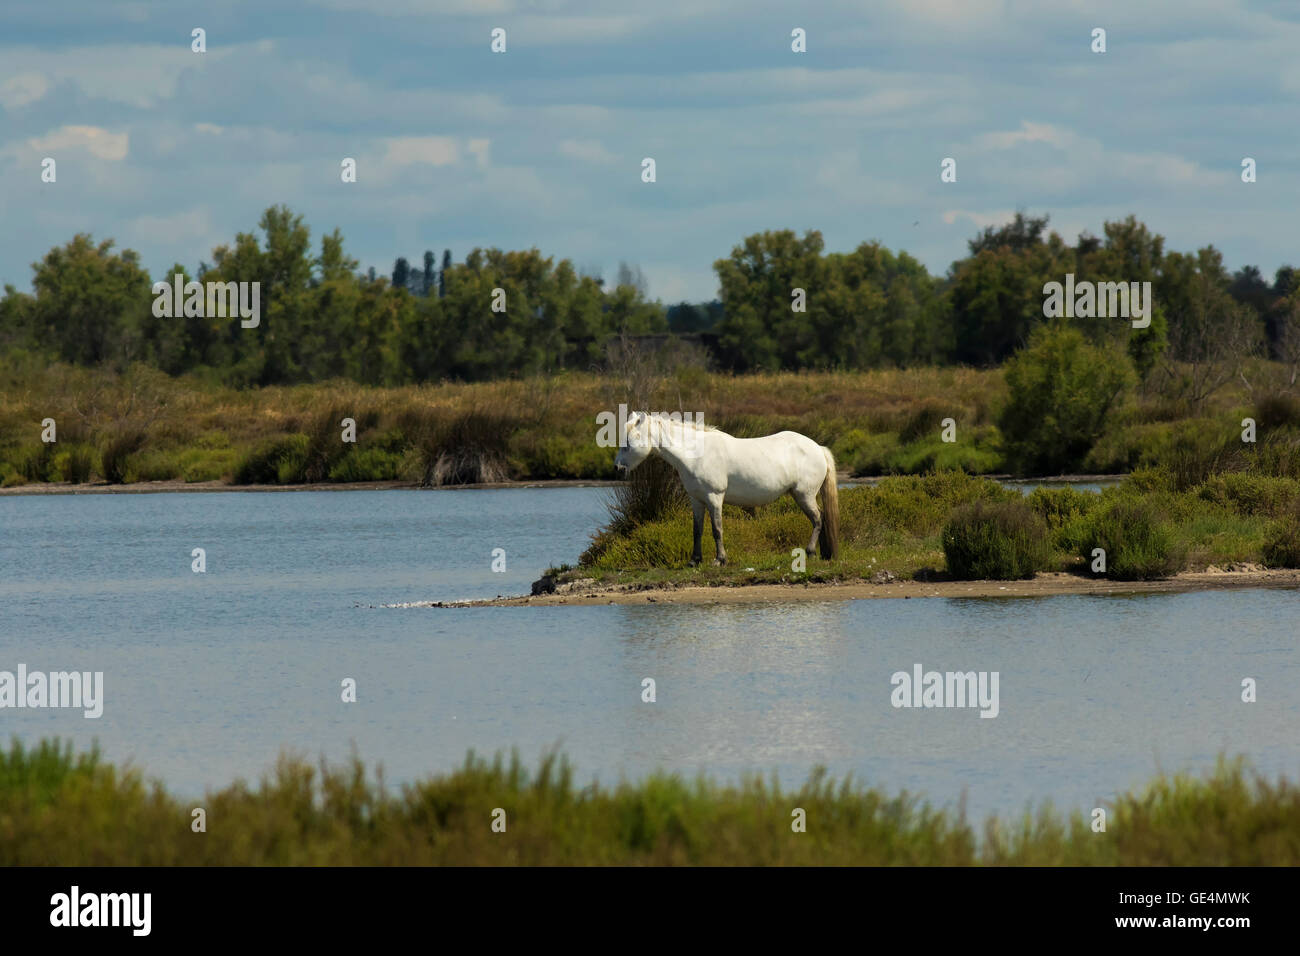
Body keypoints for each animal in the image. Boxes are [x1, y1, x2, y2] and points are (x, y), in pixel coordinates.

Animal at [613, 412, 839, 566]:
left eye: (628, 443)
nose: (617, 469)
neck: (696, 455)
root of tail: (818, 448)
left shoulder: (714, 498)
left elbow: (717, 529)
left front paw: (720, 559)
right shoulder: (697, 500)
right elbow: (697, 530)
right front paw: (695, 560)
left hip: (804, 495)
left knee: (818, 519)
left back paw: (810, 552)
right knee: (820, 519)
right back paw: (823, 553)